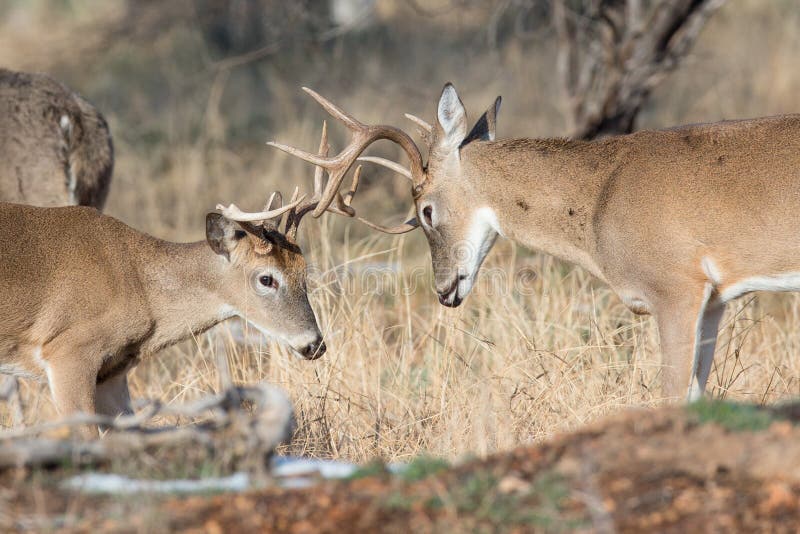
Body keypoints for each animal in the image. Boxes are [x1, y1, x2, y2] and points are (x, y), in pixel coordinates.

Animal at [0, 128, 350, 434]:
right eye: (267, 279)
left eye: (304, 271)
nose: (314, 345)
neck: (139, 287)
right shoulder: (69, 351)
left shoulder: (112, 372)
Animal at [247, 84, 800, 403]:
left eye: (425, 210)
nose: (443, 288)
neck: (602, 199)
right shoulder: (715, 299)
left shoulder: (676, 286)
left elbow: (669, 399)